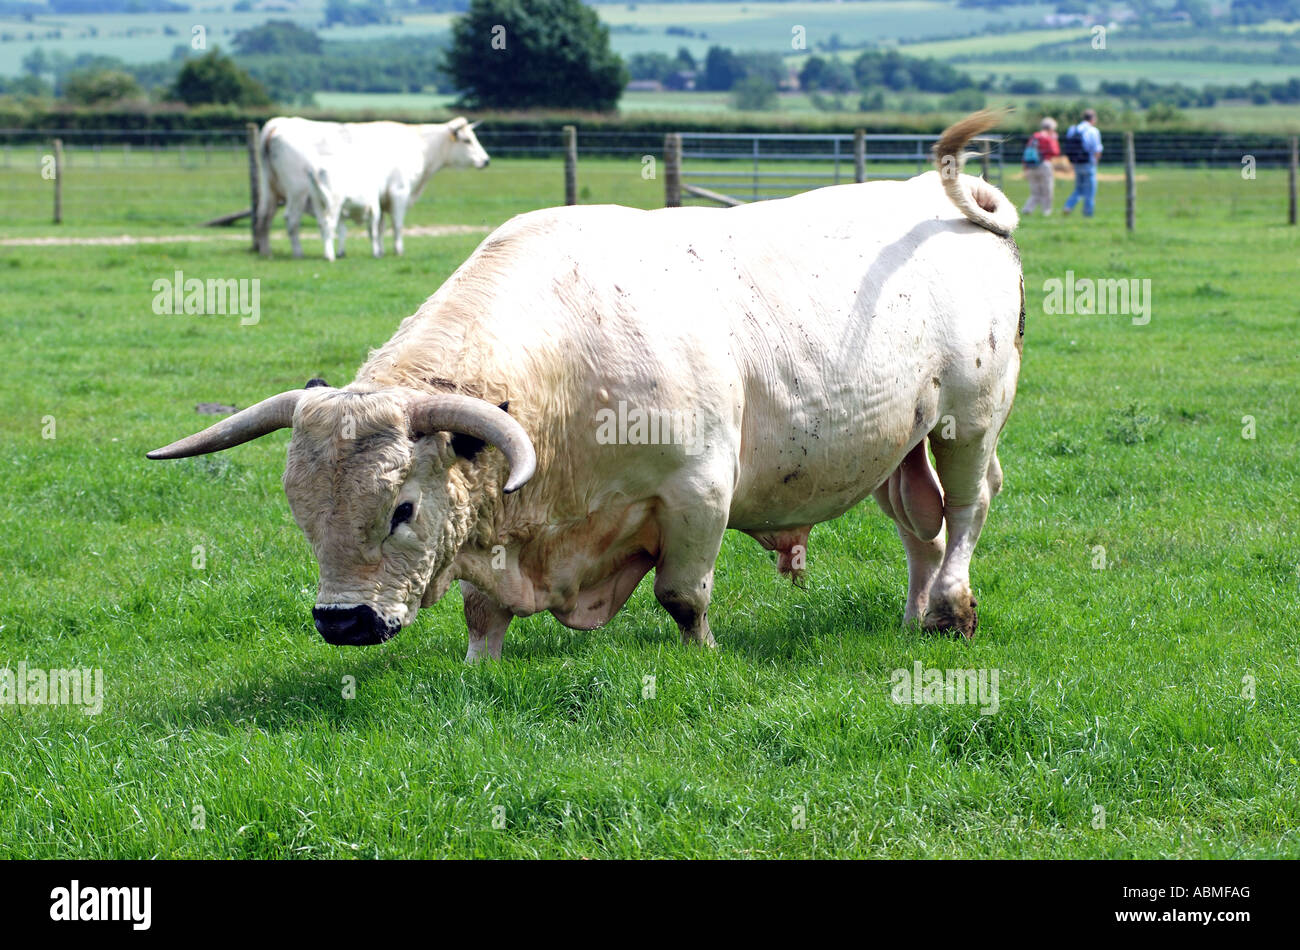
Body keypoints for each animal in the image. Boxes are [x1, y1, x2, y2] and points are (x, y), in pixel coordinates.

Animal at [254, 116, 490, 262]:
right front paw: (398, 250)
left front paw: (381, 250)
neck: (420, 146)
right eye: (467, 140)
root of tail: (279, 123)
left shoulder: (381, 200)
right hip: (298, 193)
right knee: (292, 220)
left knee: (263, 219)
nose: (486, 160)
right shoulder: (399, 192)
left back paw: (265, 251)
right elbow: (397, 225)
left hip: (270, 190)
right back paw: (299, 252)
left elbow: (379, 227)